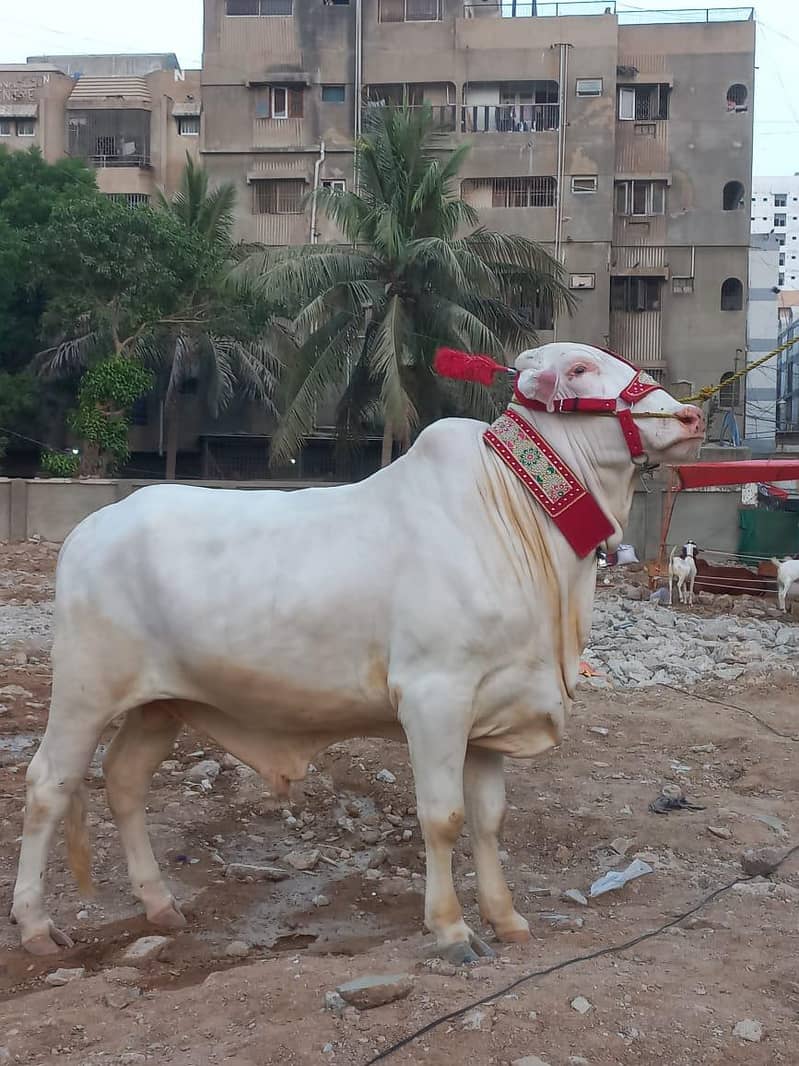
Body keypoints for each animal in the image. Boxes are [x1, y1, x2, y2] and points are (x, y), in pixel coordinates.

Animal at [11, 343, 704, 962]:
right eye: (582, 368)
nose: (690, 417)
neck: (516, 520)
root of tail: (90, 528)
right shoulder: (434, 696)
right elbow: (443, 816)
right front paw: (451, 929)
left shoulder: (492, 707)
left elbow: (489, 819)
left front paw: (506, 917)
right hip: (84, 690)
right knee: (49, 784)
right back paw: (35, 925)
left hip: (161, 703)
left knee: (125, 780)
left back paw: (160, 904)